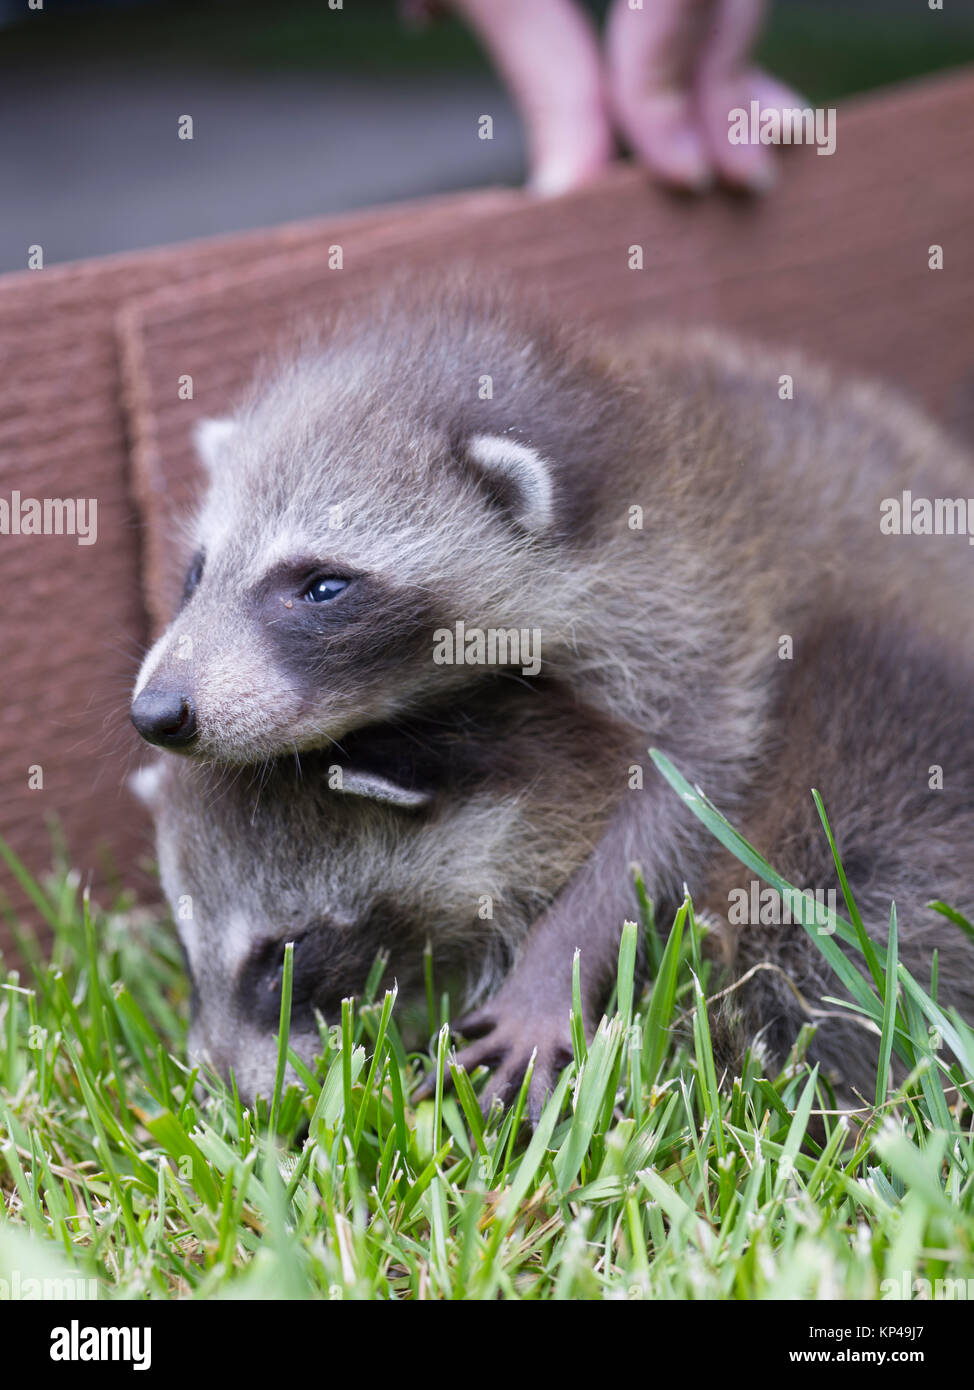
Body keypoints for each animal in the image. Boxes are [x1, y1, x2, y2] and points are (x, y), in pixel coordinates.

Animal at [131, 281, 974, 1112]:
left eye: (323, 587)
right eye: (196, 572)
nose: (157, 712)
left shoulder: (701, 623)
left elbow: (683, 796)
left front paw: (554, 962)